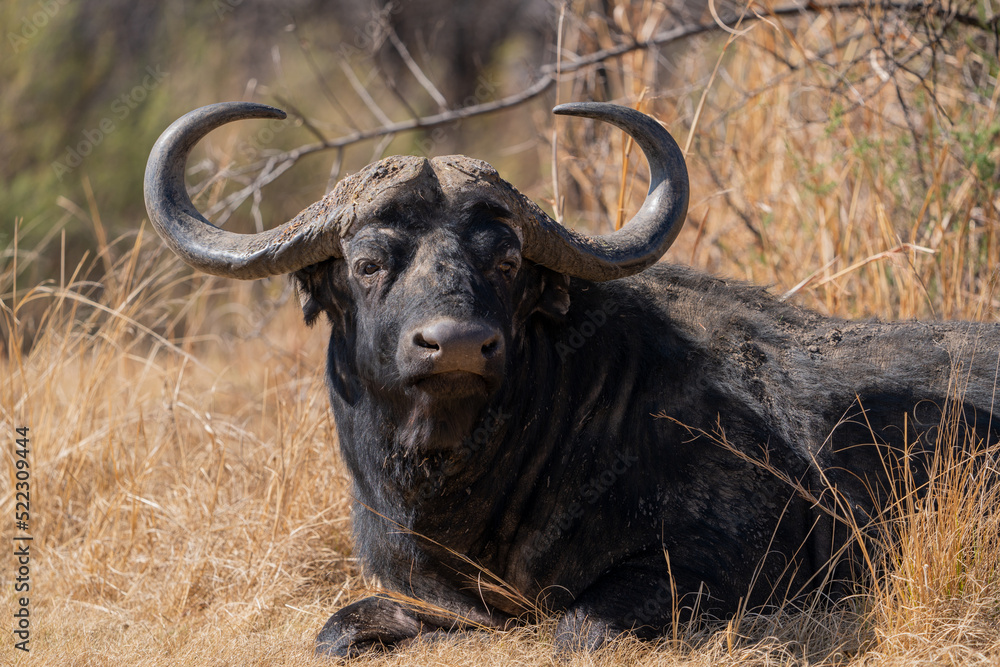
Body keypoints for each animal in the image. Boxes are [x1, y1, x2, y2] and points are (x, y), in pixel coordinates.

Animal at [144, 101, 1000, 657]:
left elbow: (579, 628)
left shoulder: (724, 569)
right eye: (368, 261)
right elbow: (337, 629)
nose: (457, 343)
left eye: (506, 258)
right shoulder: (427, 592)